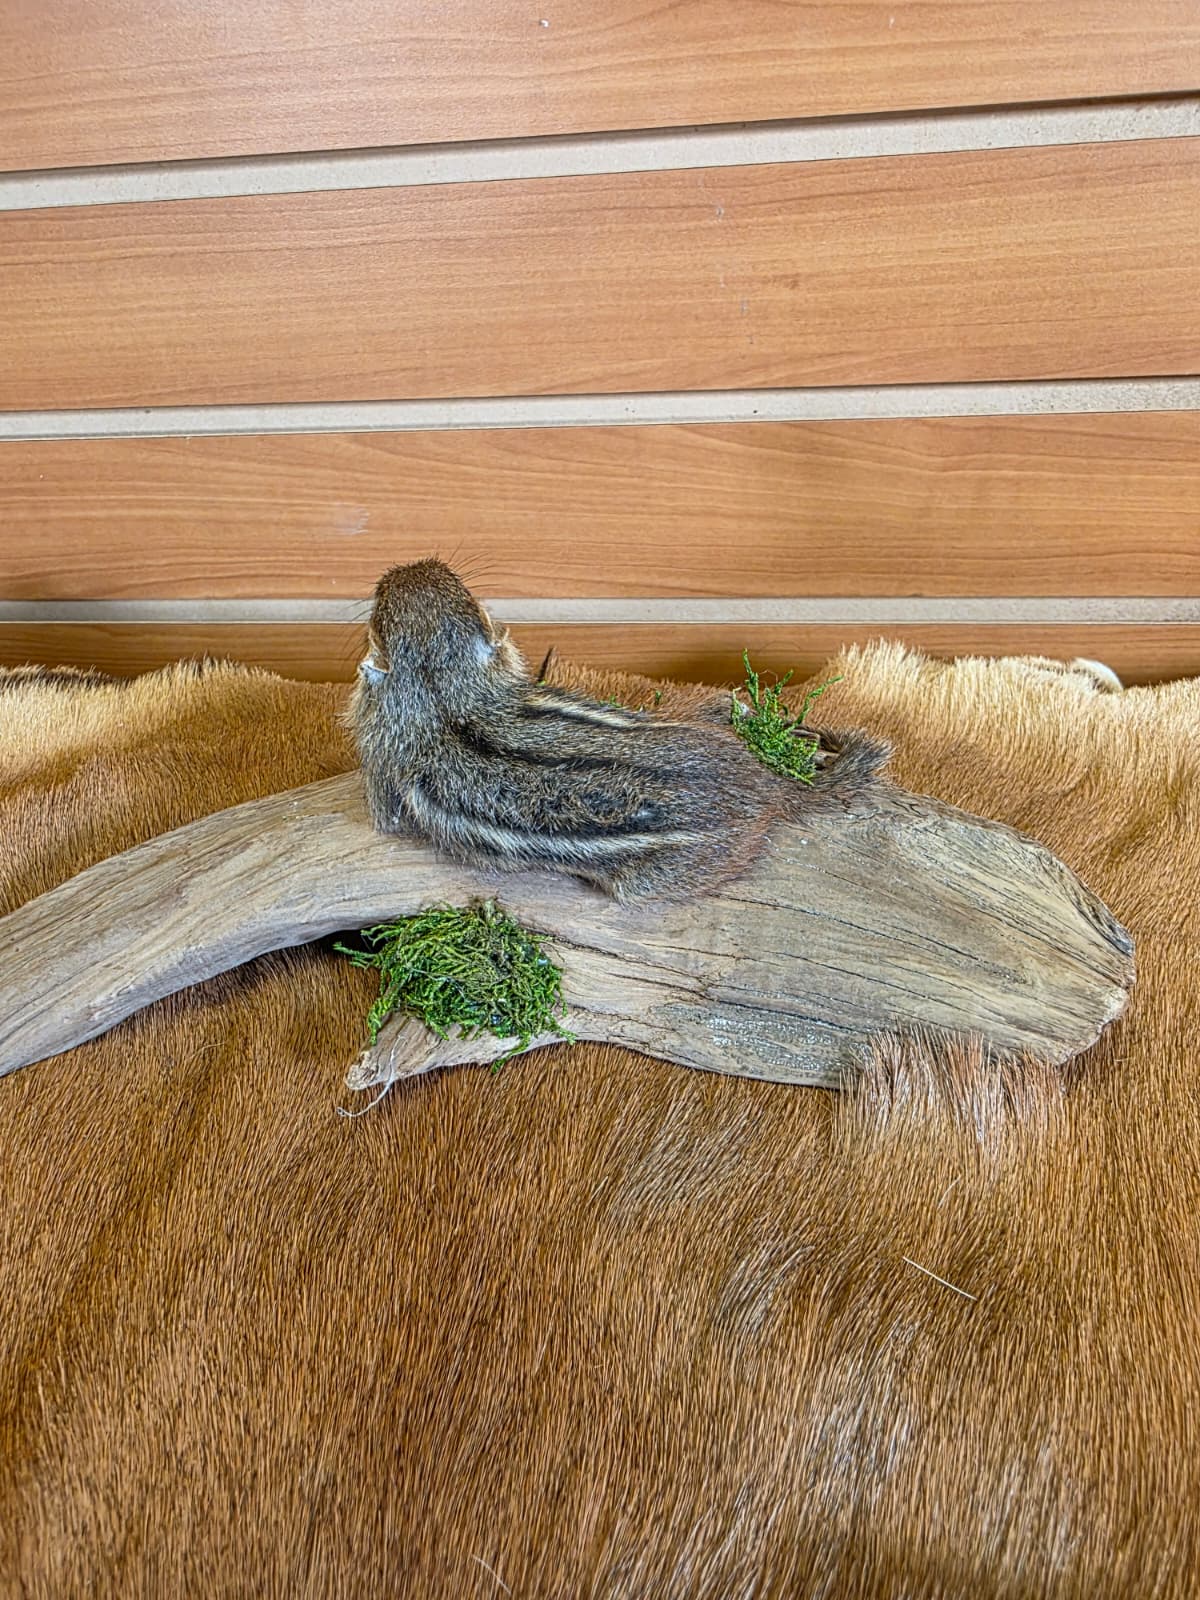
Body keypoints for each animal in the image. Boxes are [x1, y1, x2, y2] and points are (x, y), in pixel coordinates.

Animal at [348, 559, 886, 901]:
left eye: (380, 605)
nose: (409, 565)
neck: (445, 696)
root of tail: (764, 785)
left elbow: (385, 820)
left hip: (653, 881)